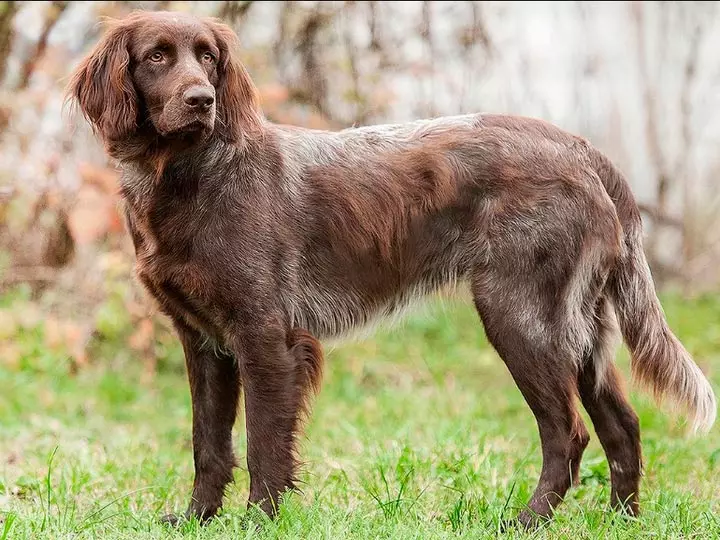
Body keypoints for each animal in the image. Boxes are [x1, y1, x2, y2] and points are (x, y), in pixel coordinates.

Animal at [66, 10, 716, 528]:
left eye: (208, 58)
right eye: (157, 56)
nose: (202, 99)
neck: (191, 175)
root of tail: (583, 150)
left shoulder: (265, 337)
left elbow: (264, 445)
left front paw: (258, 522)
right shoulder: (204, 342)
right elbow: (209, 445)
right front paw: (197, 519)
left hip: (522, 318)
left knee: (569, 433)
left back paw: (526, 521)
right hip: (580, 331)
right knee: (623, 427)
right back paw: (622, 520)